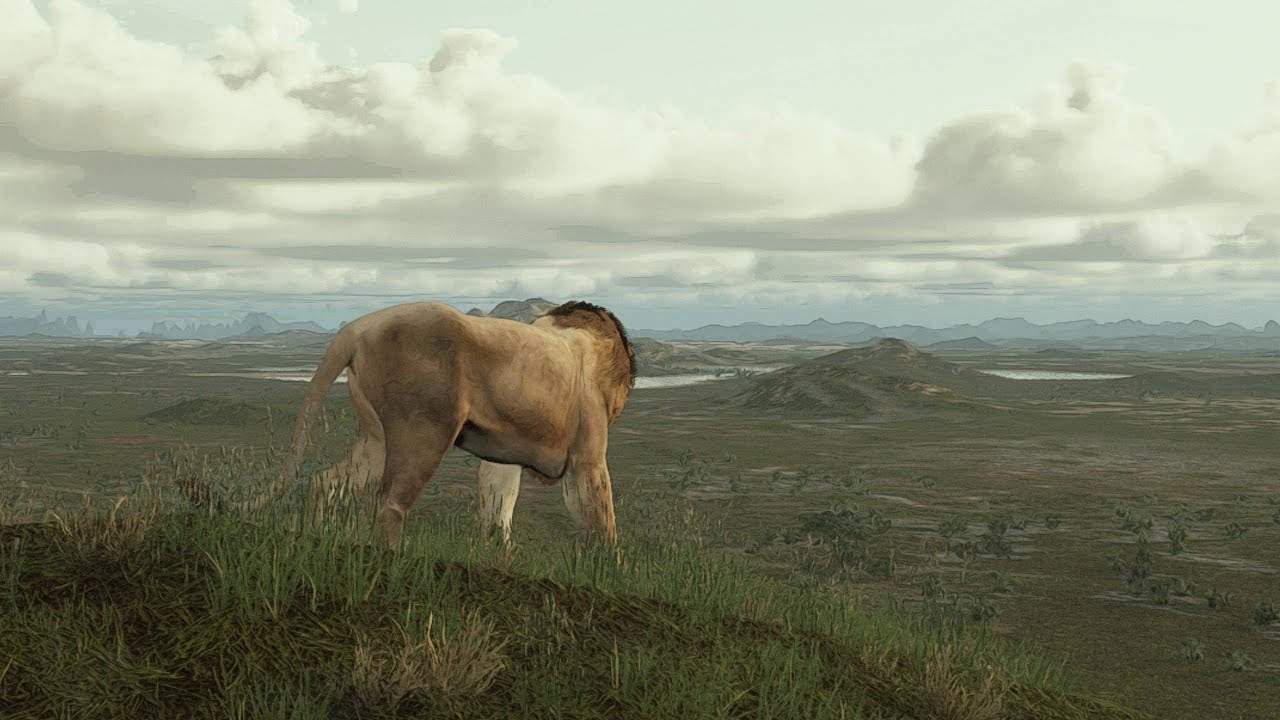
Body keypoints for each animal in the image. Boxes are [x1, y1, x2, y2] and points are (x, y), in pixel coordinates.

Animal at [249, 300, 636, 548]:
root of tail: (359, 327)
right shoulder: (587, 458)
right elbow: (602, 523)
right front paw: (608, 570)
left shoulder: (503, 456)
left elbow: (497, 512)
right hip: (424, 430)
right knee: (389, 503)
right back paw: (393, 564)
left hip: (376, 437)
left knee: (325, 482)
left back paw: (322, 539)